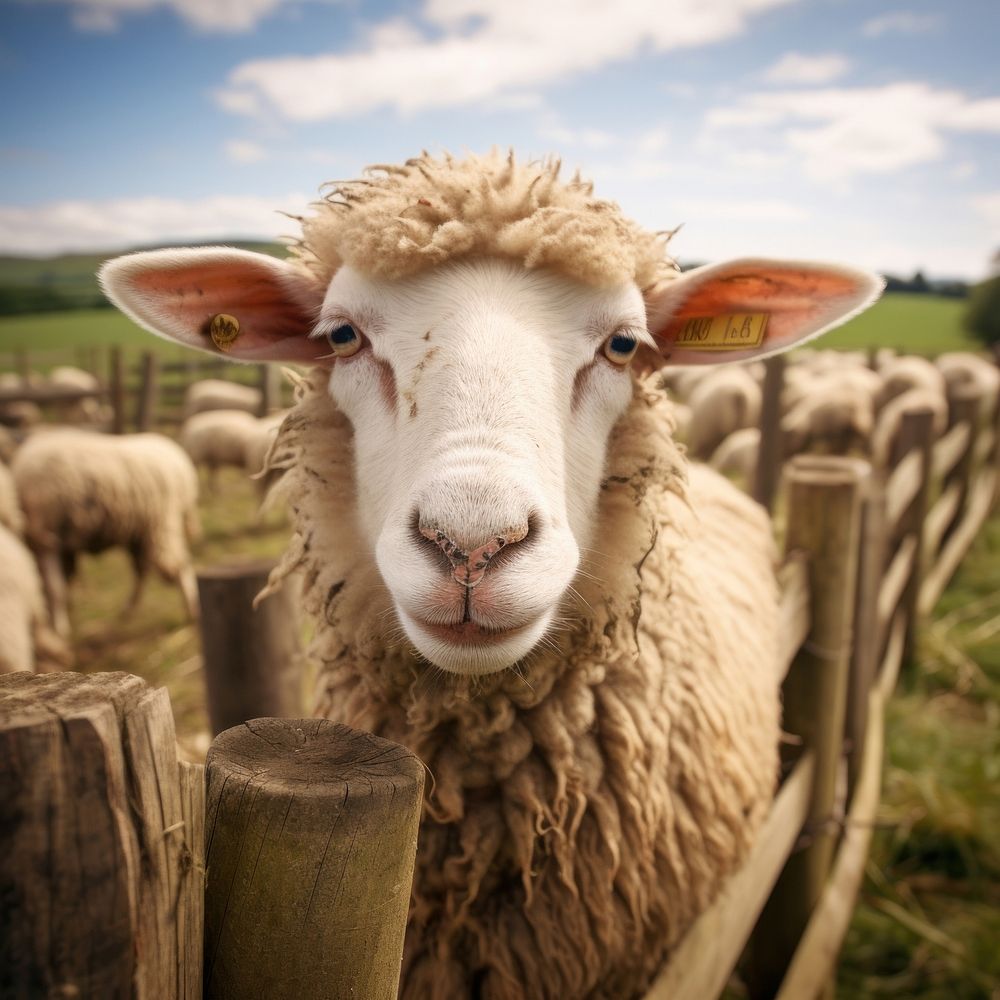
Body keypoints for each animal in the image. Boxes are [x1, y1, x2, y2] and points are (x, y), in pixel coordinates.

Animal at [12, 429, 200, 637]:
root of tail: (180, 460)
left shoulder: (46, 539)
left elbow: (55, 588)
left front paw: (60, 627)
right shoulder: (62, 545)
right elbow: (65, 581)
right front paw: (66, 613)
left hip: (161, 525)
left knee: (178, 568)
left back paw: (192, 611)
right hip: (140, 534)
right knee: (142, 572)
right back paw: (128, 610)